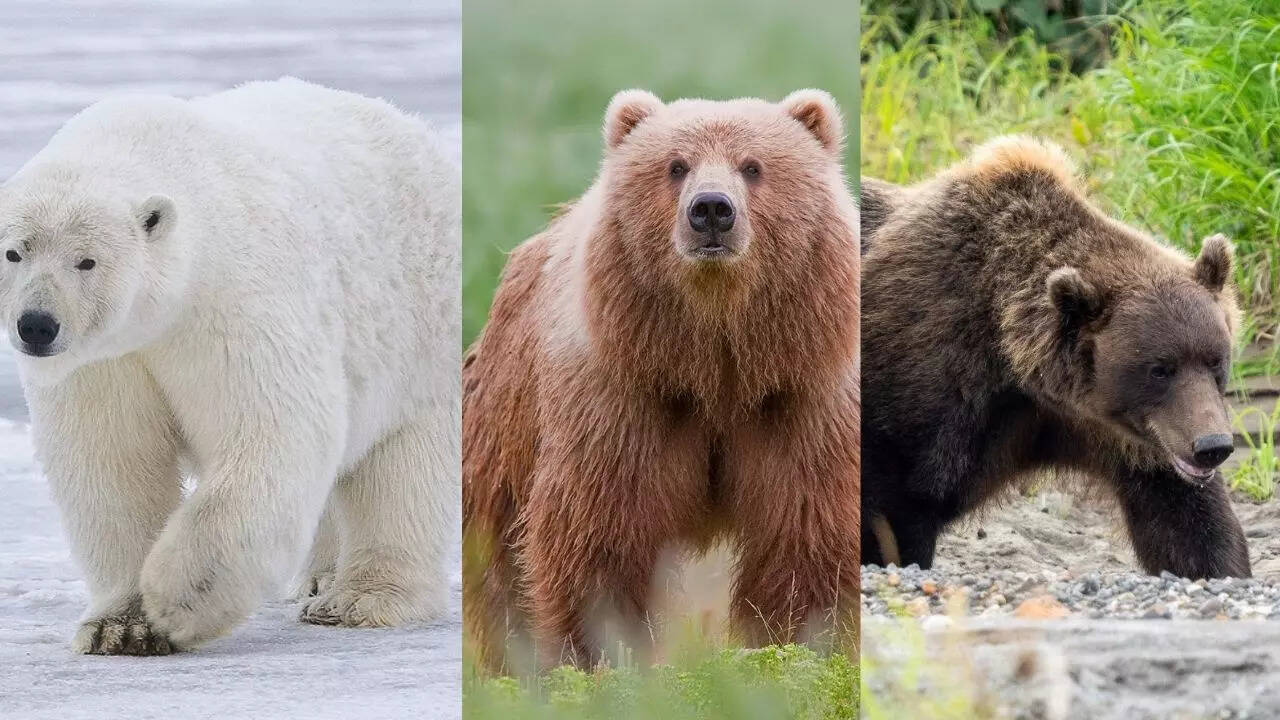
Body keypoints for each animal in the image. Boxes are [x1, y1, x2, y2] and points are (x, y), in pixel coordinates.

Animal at [0, 78, 460, 655]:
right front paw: (120, 627)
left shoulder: (234, 300)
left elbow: (271, 431)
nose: (37, 325)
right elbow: (111, 461)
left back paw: (359, 599)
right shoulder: (104, 360)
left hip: (419, 332)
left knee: (403, 469)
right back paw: (319, 578)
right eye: (14, 252)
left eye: (86, 261)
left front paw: (175, 601)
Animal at [463, 89, 861, 672]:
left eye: (753, 166)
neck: (713, 362)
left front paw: (799, 647)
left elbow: (808, 532)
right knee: (501, 576)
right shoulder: (622, 396)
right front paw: (604, 656)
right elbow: (602, 533)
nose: (712, 209)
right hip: (504, 435)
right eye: (676, 166)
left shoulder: (802, 397)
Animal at [860, 135, 1250, 580]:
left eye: (1216, 360)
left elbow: (1186, 519)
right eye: (1159, 368)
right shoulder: (924, 374)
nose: (1212, 445)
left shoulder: (1122, 435)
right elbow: (895, 511)